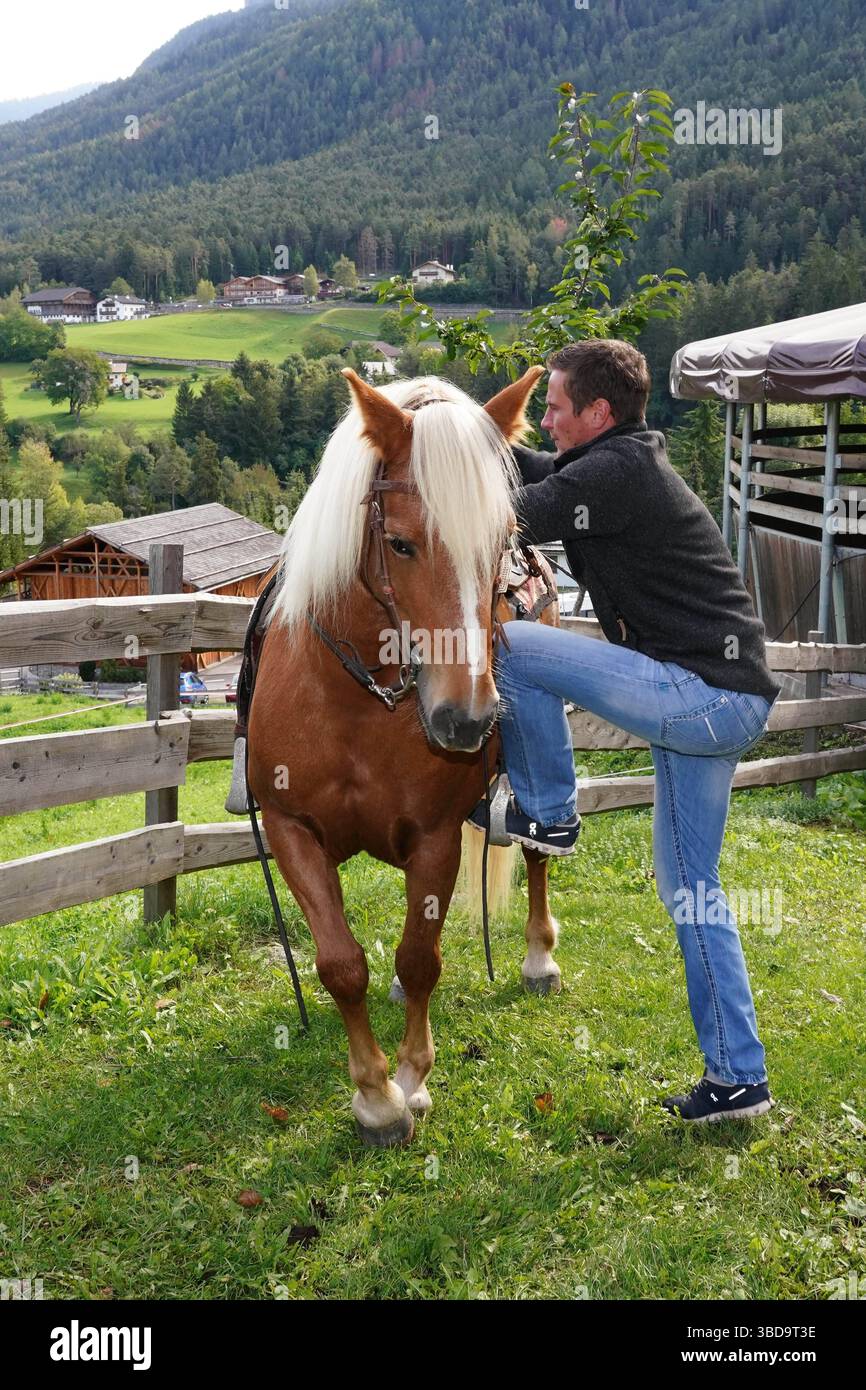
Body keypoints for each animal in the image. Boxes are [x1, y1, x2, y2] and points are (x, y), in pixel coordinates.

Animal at [247, 365, 563, 1147]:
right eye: (398, 543)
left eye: (500, 539)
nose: (464, 718)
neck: (360, 701)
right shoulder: (291, 830)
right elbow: (342, 965)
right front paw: (374, 1096)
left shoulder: (436, 837)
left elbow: (422, 959)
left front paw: (411, 1082)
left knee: (537, 853)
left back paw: (539, 955)